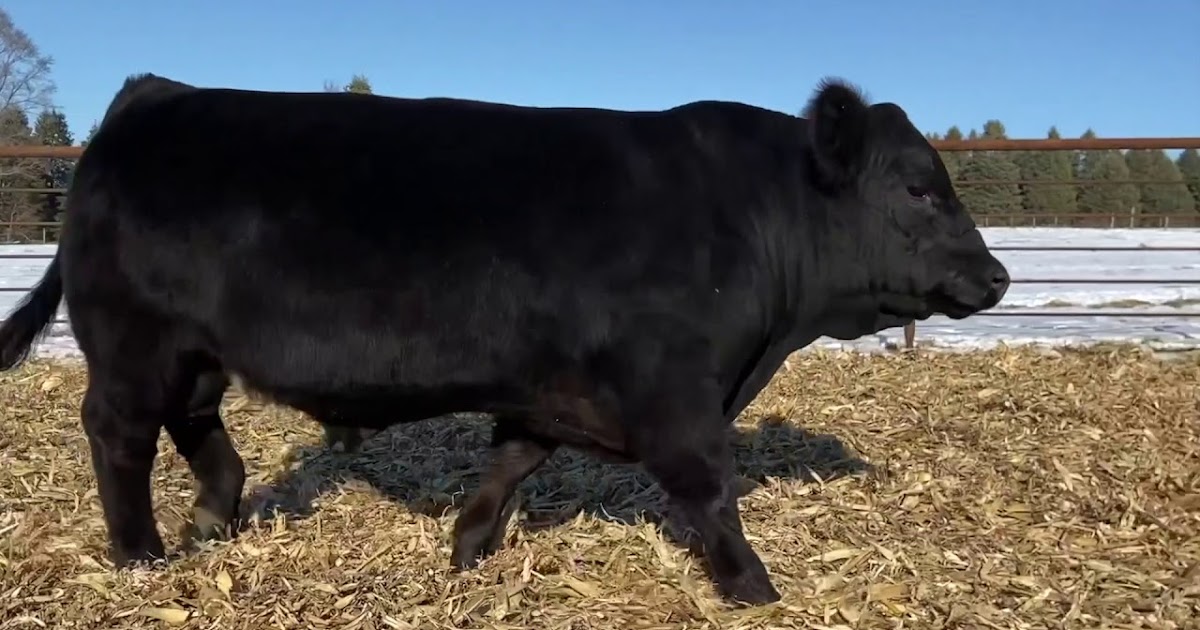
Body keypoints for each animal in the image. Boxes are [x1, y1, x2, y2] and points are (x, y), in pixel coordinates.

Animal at [0, 73, 1009, 606]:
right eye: (919, 188)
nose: (997, 276)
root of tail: (155, 95)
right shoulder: (674, 393)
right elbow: (709, 489)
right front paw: (756, 589)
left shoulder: (551, 386)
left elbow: (511, 462)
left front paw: (466, 552)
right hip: (132, 342)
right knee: (121, 435)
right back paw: (139, 554)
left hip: (196, 350)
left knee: (198, 424)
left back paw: (213, 518)